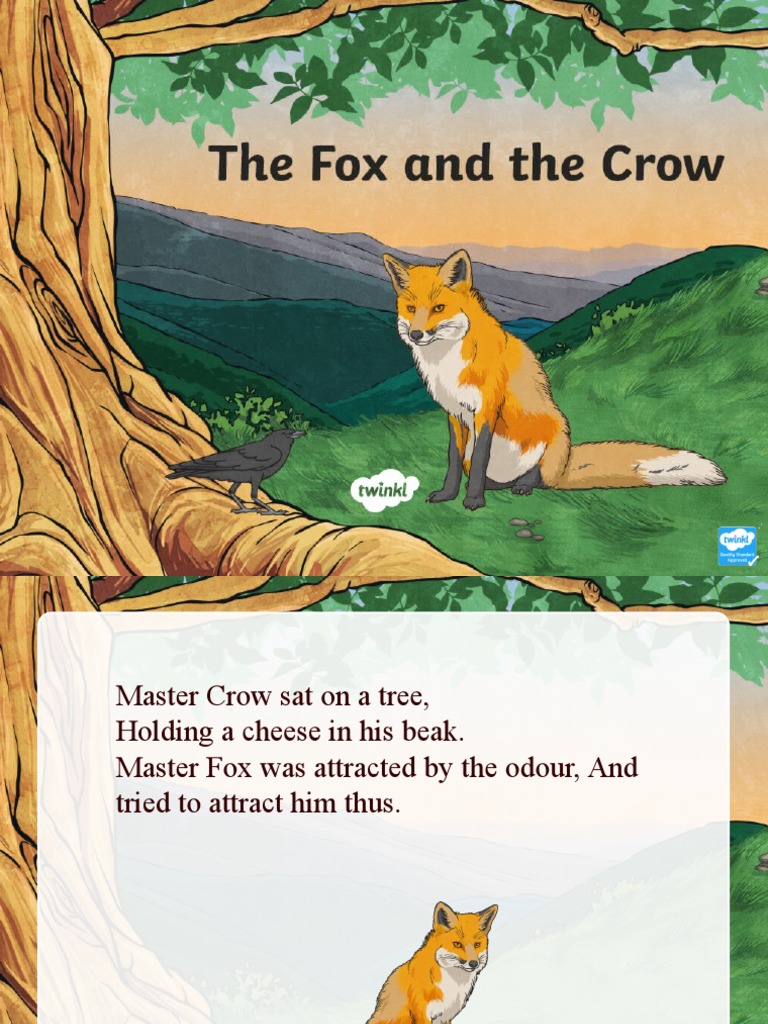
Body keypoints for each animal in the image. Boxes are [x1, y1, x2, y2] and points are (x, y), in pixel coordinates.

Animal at [382, 249, 726, 510]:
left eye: (439, 308)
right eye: (411, 308)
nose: (416, 334)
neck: (446, 360)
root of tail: (567, 463)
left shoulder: (486, 411)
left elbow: (479, 461)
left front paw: (474, 500)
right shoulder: (455, 415)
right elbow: (454, 462)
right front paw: (448, 495)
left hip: (555, 433)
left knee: (538, 479)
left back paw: (521, 486)